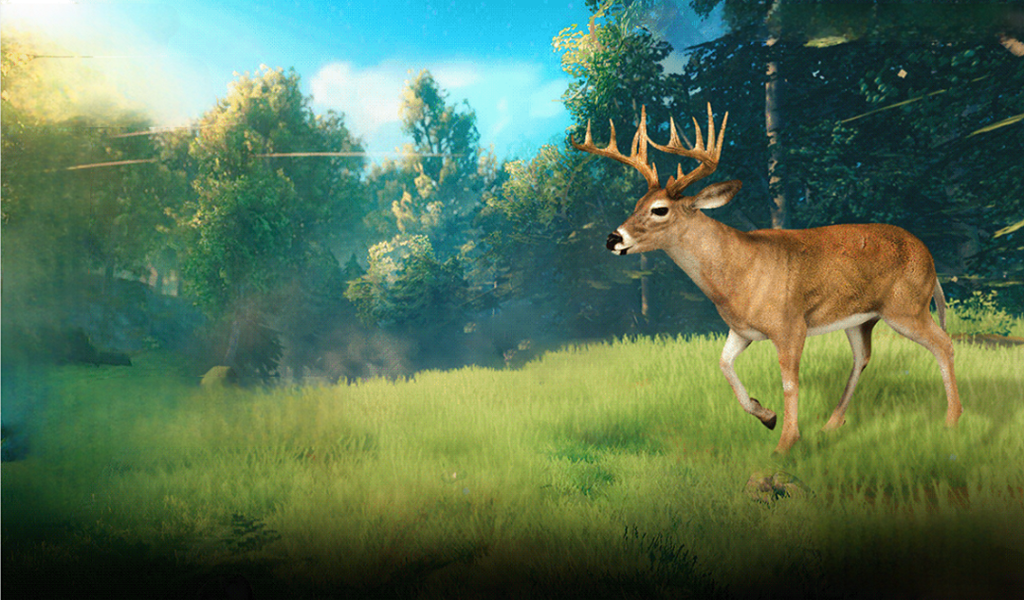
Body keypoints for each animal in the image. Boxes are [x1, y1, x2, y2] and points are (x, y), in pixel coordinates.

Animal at [572, 104, 962, 454]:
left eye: (659, 210)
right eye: (636, 203)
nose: (612, 239)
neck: (737, 273)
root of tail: (930, 259)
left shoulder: (791, 325)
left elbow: (790, 382)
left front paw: (785, 443)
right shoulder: (741, 329)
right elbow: (724, 365)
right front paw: (766, 415)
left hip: (906, 306)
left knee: (944, 343)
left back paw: (951, 420)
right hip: (861, 318)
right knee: (863, 356)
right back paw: (831, 425)